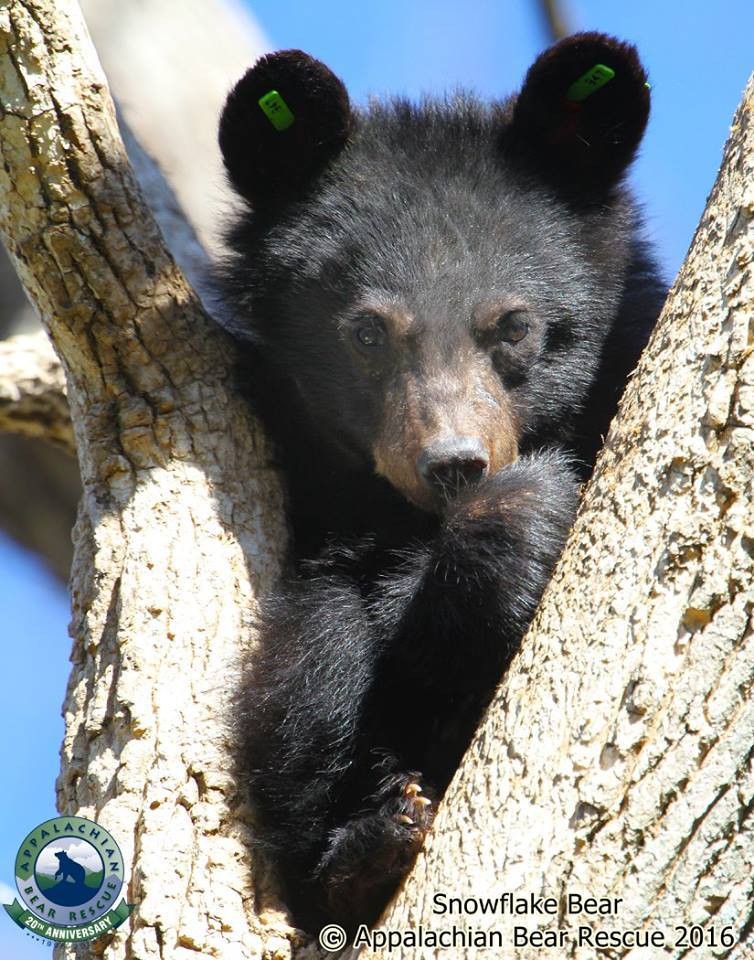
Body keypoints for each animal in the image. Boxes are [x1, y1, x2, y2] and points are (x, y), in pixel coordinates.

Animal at [215, 32, 665, 933]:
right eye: (366, 332)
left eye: (516, 325)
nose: (455, 463)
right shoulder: (318, 500)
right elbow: (379, 622)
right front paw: (521, 514)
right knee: (312, 657)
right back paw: (366, 851)